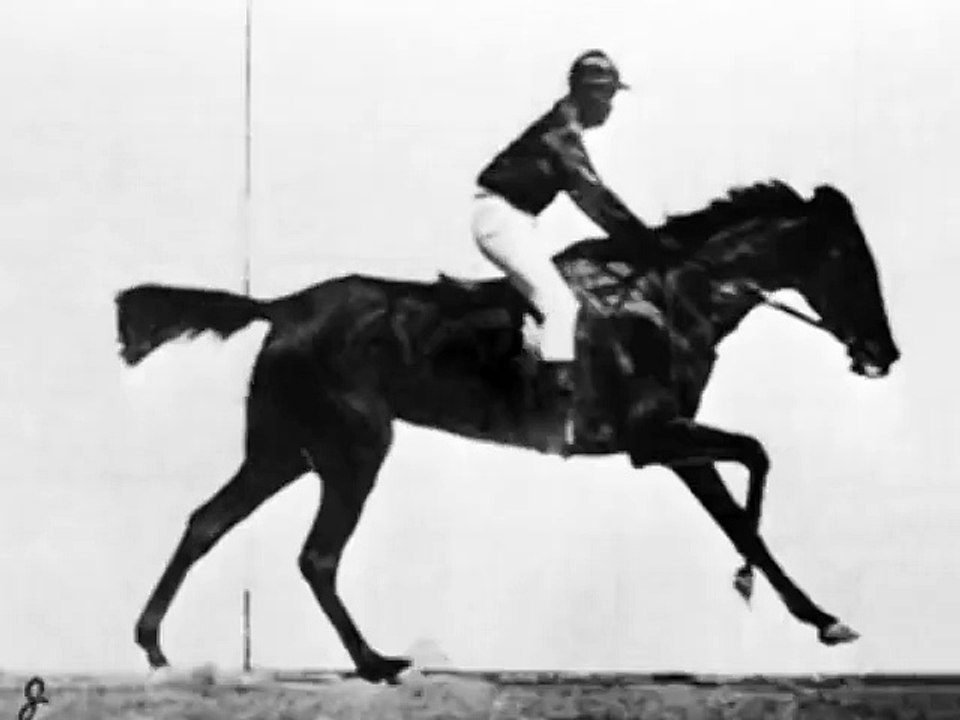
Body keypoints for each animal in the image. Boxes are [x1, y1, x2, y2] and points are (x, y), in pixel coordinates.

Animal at [114, 179, 900, 684]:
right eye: (847, 258)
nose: (884, 353)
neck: (669, 298)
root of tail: (279, 307)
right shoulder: (655, 439)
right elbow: (756, 463)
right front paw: (776, 596)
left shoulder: (671, 444)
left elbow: (739, 512)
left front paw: (817, 615)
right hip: (353, 449)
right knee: (316, 556)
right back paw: (375, 663)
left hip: (287, 450)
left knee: (207, 521)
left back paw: (154, 646)